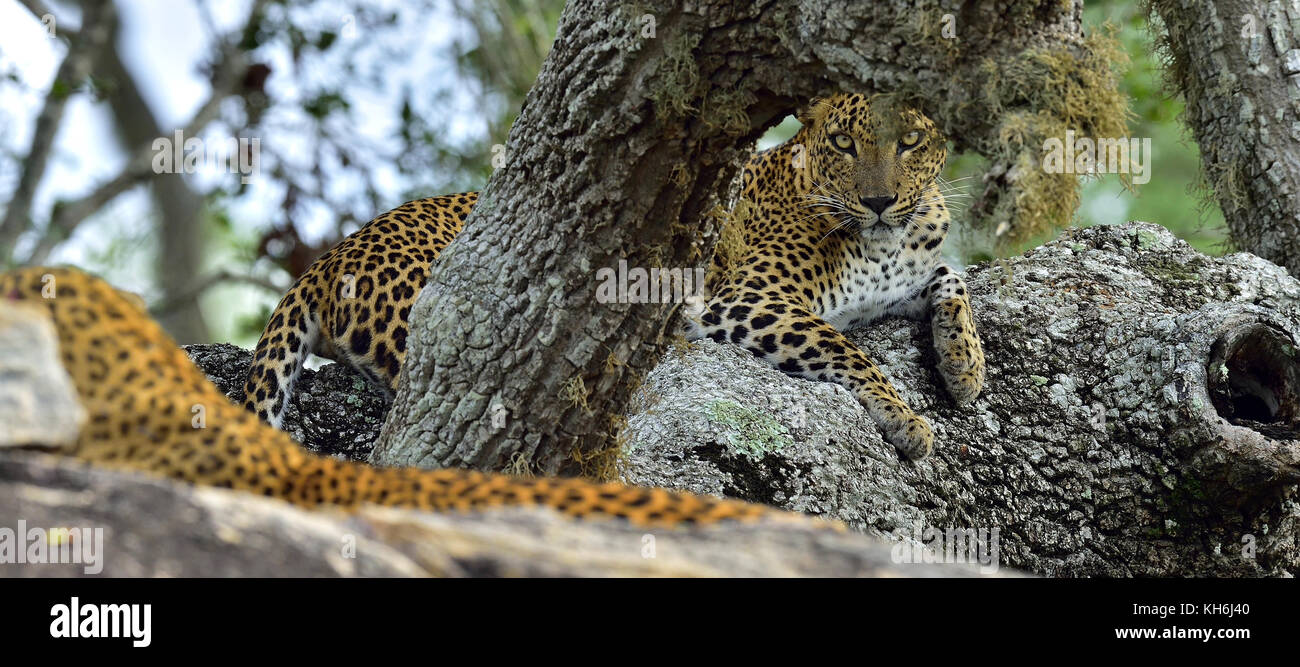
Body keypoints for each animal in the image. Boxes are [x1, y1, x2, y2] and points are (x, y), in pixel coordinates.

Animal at [685, 93, 985, 459]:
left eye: (911, 139)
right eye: (843, 142)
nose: (878, 202)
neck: (885, 249)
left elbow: (953, 278)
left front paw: (966, 363)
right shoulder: (748, 298)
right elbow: (841, 348)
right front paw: (902, 415)